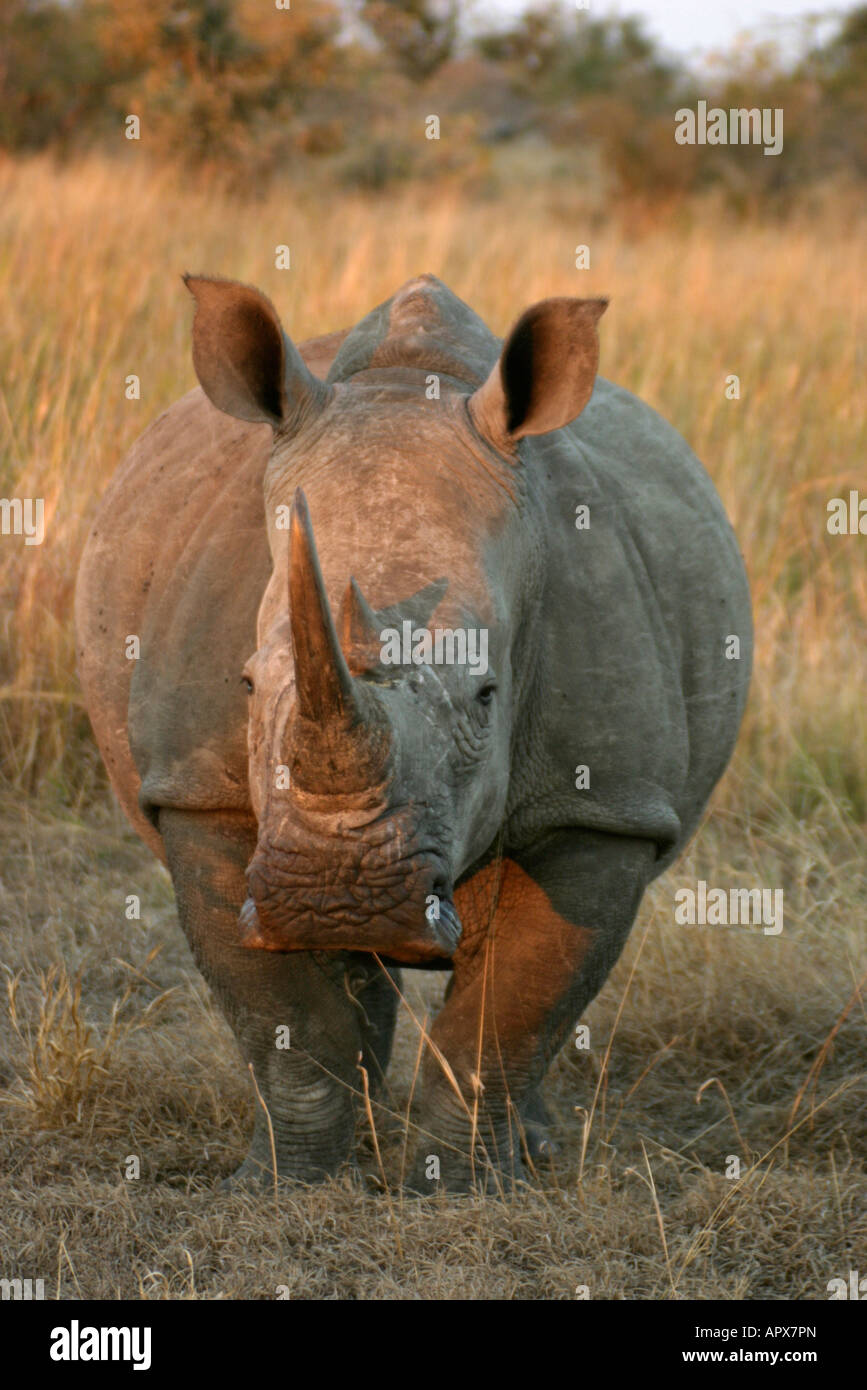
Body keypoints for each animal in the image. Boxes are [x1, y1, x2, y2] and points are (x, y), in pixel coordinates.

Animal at [75, 273, 752, 1191]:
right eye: (245, 685)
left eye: (486, 696)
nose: (340, 898)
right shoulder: (199, 794)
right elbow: (281, 1020)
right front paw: (283, 1184)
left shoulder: (602, 808)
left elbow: (508, 1022)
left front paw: (461, 1189)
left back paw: (531, 1150)